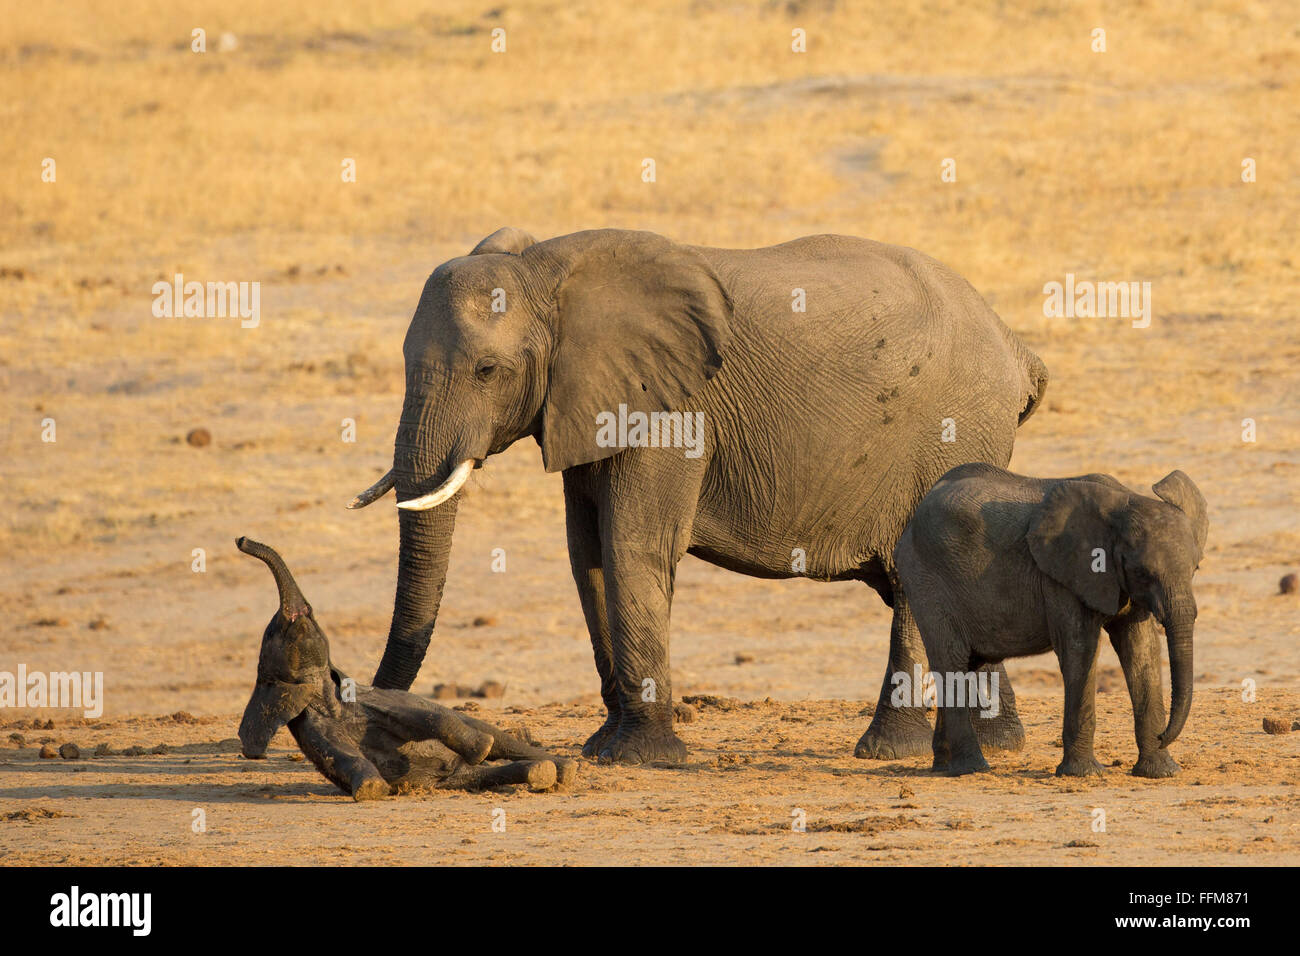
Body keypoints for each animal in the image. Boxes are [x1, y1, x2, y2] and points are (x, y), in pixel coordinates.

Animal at [235, 537, 576, 798]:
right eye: (277, 628)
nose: (242, 541)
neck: (326, 696)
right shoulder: (315, 727)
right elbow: (348, 760)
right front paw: (371, 788)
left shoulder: (375, 698)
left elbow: (424, 718)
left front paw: (479, 745)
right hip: (459, 781)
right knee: (489, 775)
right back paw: (542, 773)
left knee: (495, 738)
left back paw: (564, 766)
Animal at [349, 227, 1049, 765]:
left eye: (487, 371)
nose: (372, 726)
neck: (546, 271)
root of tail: (1018, 349)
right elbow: (588, 556)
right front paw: (602, 748)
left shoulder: (671, 411)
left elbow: (632, 548)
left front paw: (641, 758)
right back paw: (1000, 744)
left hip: (952, 432)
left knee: (914, 579)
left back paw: (889, 749)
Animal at [892, 464, 1208, 778]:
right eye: (1142, 572)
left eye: (1195, 569)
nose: (1163, 735)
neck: (1123, 503)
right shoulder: (1061, 579)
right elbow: (1079, 650)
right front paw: (1084, 774)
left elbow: (1142, 651)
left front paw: (1162, 772)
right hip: (925, 578)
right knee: (951, 659)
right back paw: (972, 768)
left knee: (967, 663)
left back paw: (943, 765)